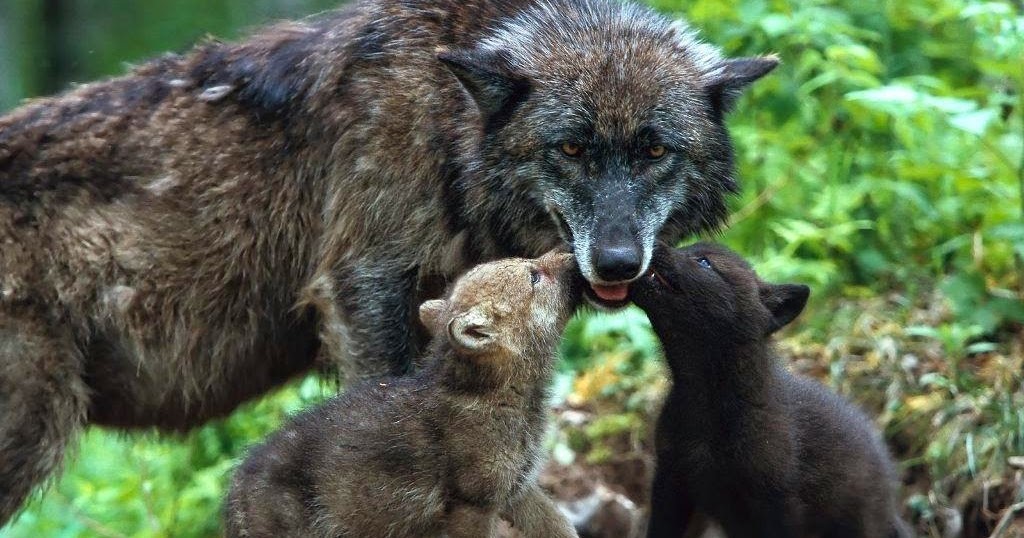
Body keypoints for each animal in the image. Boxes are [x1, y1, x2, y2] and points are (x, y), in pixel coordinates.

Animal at [0, 0, 777, 523]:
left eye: (654, 150)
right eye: (571, 148)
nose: (618, 263)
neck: (447, 124)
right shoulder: (364, 288)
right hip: (33, 435)